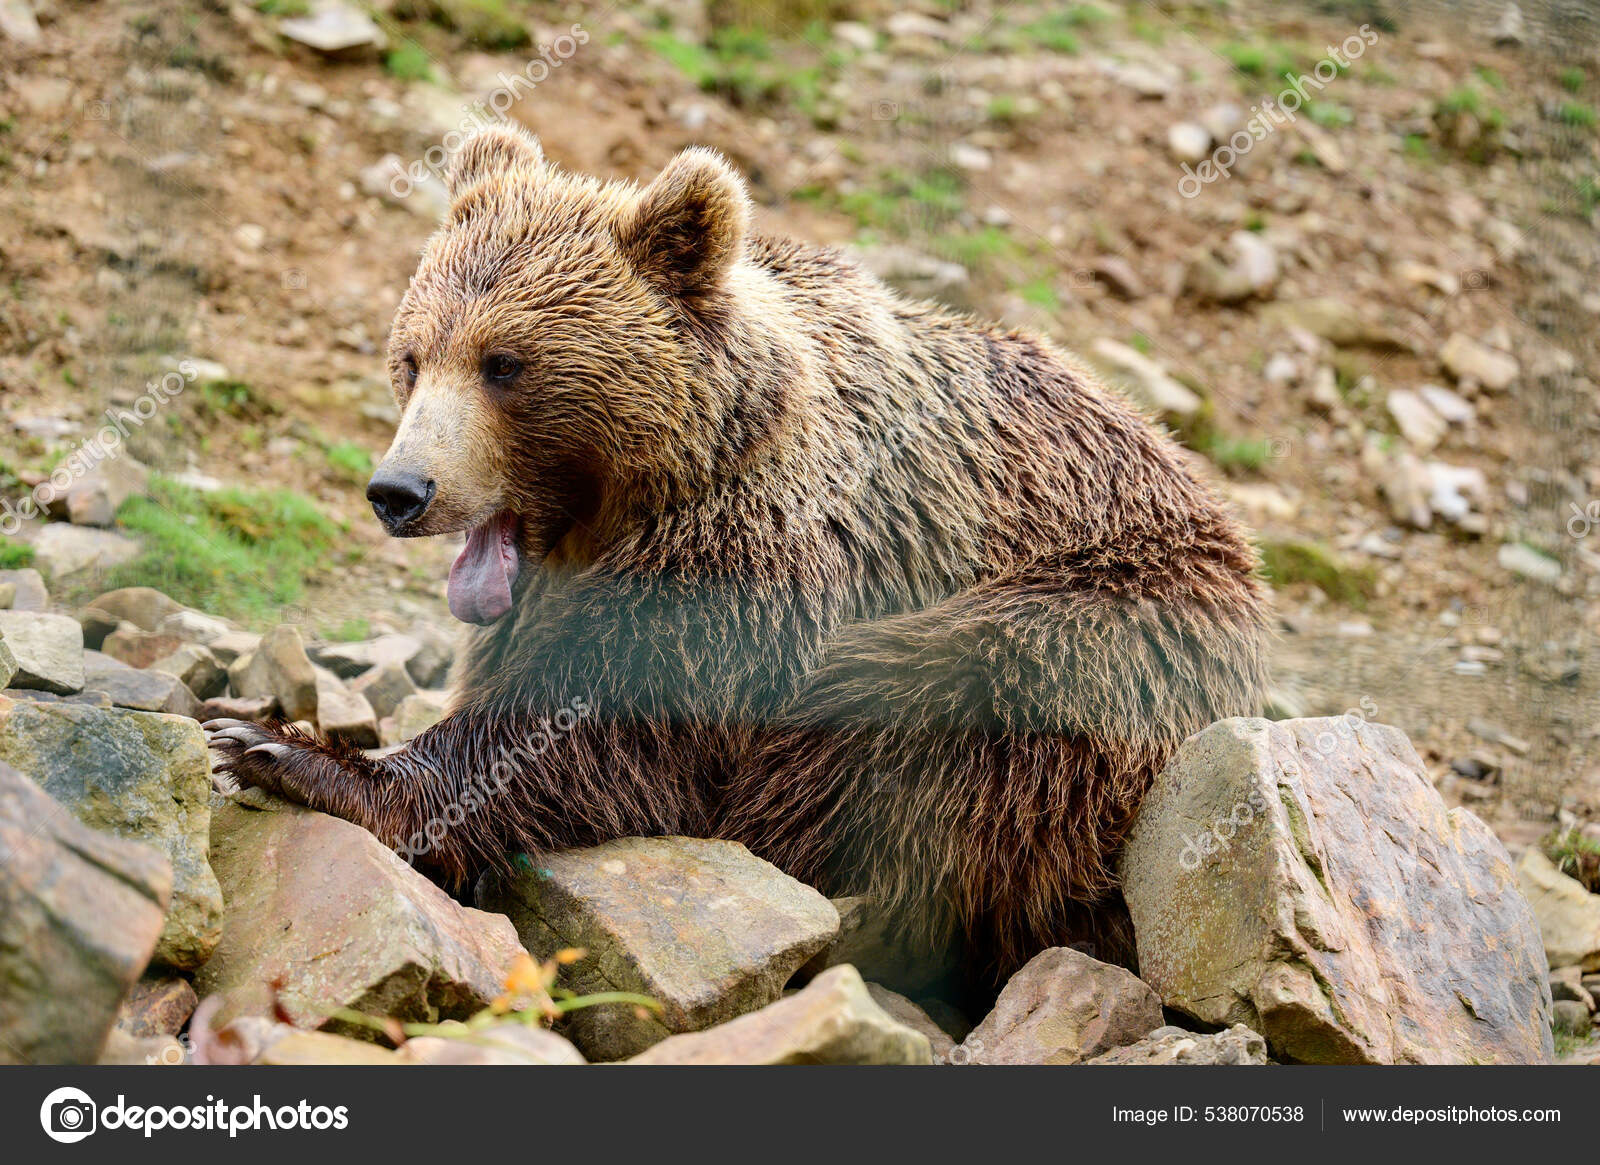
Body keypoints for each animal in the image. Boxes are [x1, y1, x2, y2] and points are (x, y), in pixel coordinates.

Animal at [208, 123, 1272, 992]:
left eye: (505, 364)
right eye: (414, 355)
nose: (399, 490)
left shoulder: (760, 556)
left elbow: (619, 730)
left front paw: (285, 748)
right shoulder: (551, 585)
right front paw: (272, 734)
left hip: (1099, 619)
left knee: (920, 713)